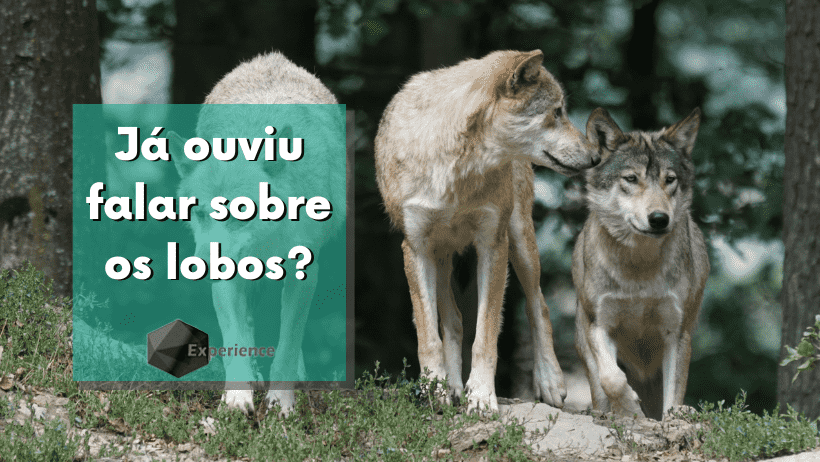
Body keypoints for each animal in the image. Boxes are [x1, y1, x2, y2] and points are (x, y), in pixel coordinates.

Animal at [173, 51, 345, 416]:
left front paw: (281, 404)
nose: (200, 264)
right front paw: (237, 399)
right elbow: (236, 340)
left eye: (240, 210)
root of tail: (271, 58)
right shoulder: (228, 278)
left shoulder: (303, 274)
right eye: (200, 212)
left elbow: (287, 346)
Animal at [374, 49, 600, 413]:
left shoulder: (493, 244)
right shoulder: (415, 248)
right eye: (557, 112)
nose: (596, 156)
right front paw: (436, 390)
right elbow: (428, 336)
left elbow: (486, 335)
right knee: (452, 320)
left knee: (539, 305)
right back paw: (451, 388)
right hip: (440, 256)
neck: (456, 169)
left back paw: (550, 381)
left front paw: (480, 396)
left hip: (520, 241)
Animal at [573, 107, 709, 420]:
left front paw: (672, 417)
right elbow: (611, 378)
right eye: (631, 179)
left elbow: (673, 396)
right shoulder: (599, 324)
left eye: (669, 179)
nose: (659, 219)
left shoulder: (677, 333)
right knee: (601, 390)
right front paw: (629, 408)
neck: (639, 268)